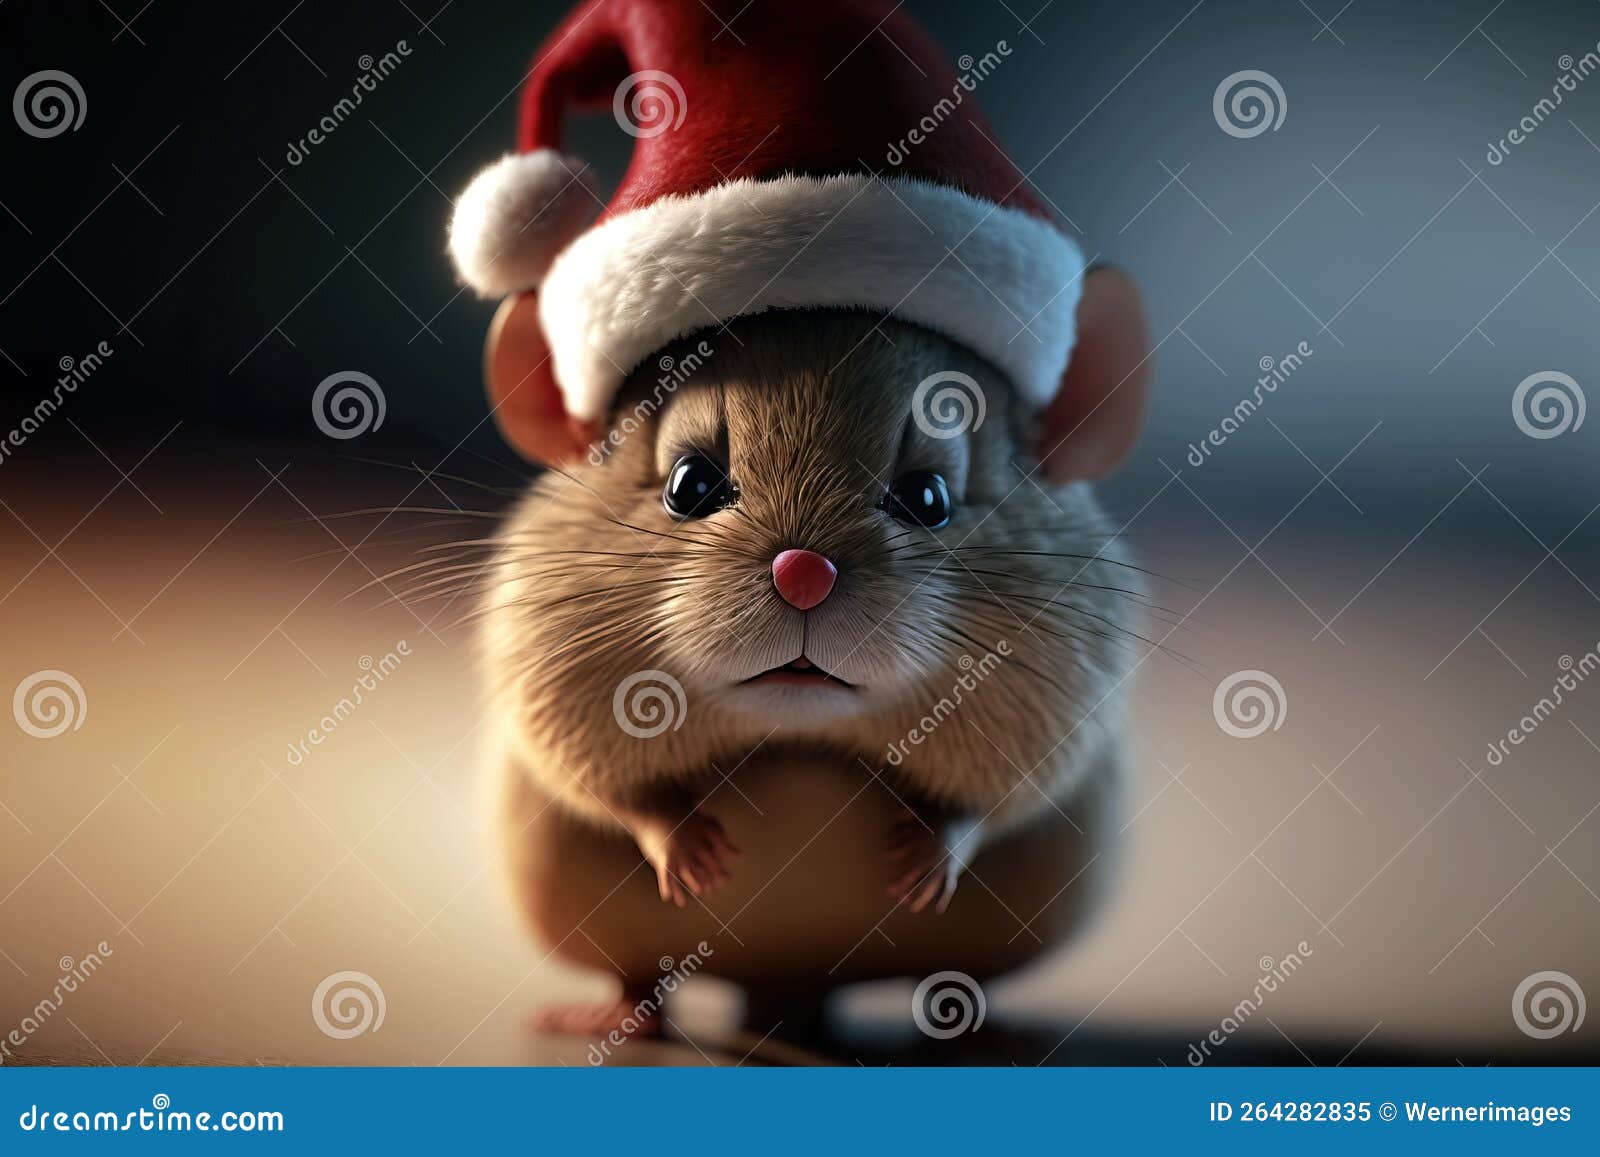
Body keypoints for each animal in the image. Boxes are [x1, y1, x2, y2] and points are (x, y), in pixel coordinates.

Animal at [479, 281, 1153, 1040]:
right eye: (689, 484)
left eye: (928, 499)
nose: (804, 574)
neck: (799, 736)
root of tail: (787, 995)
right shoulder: (555, 712)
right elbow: (626, 799)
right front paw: (695, 859)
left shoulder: (1050, 731)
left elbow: (980, 810)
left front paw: (919, 866)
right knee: (637, 977)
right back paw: (601, 1017)